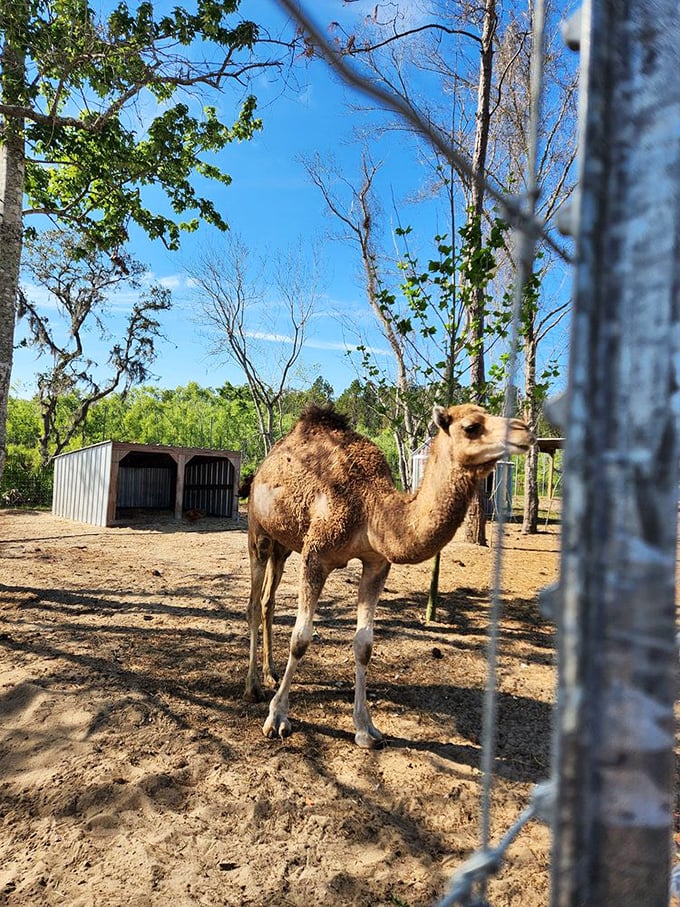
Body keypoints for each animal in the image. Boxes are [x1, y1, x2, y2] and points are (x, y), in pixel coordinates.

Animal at [240, 403, 533, 748]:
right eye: (472, 426)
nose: (525, 431)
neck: (370, 507)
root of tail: (260, 469)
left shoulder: (377, 563)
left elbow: (364, 644)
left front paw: (366, 729)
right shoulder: (316, 554)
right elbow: (301, 638)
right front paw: (277, 718)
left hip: (283, 545)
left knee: (268, 600)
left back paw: (270, 672)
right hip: (258, 531)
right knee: (253, 603)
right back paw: (252, 687)